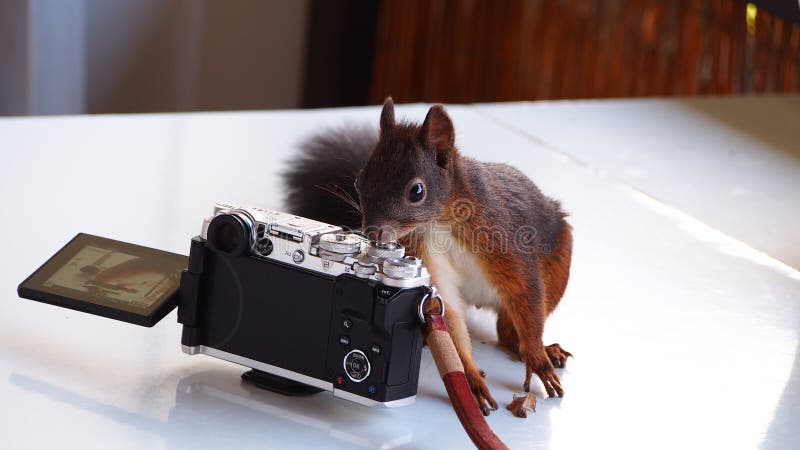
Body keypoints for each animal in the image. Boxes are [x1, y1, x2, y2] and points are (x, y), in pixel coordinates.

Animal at [283, 98, 573, 416]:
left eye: (417, 191)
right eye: (359, 181)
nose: (372, 233)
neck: (439, 220)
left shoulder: (504, 240)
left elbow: (524, 291)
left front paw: (537, 358)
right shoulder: (425, 257)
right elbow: (448, 311)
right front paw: (469, 377)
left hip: (559, 263)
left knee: (510, 330)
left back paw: (544, 350)